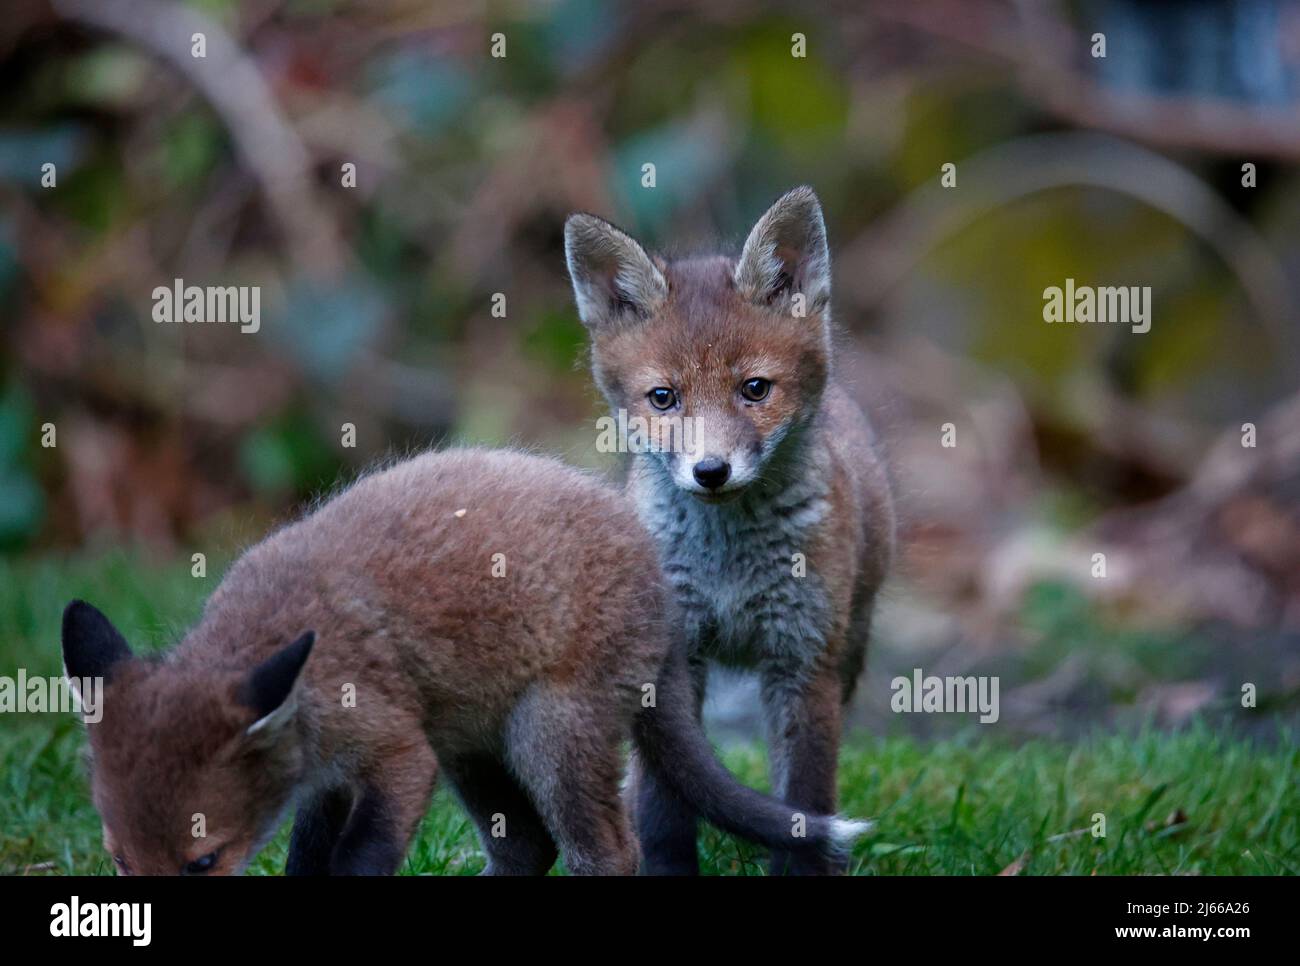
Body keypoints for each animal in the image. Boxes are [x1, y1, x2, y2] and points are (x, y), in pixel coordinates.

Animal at [60, 448, 867, 875]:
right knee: (528, 847)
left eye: (202, 861)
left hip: (546, 737)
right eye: (121, 862)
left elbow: (357, 861)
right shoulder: (328, 778)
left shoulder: (394, 751)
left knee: (607, 851)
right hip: (470, 748)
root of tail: (661, 586)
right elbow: (304, 863)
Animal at [565, 186, 895, 875]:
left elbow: (804, 801)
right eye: (663, 398)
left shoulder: (804, 664)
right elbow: (665, 802)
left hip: (848, 647)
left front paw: (801, 866)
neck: (730, 567)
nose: (711, 471)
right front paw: (666, 867)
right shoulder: (676, 657)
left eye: (755, 389)